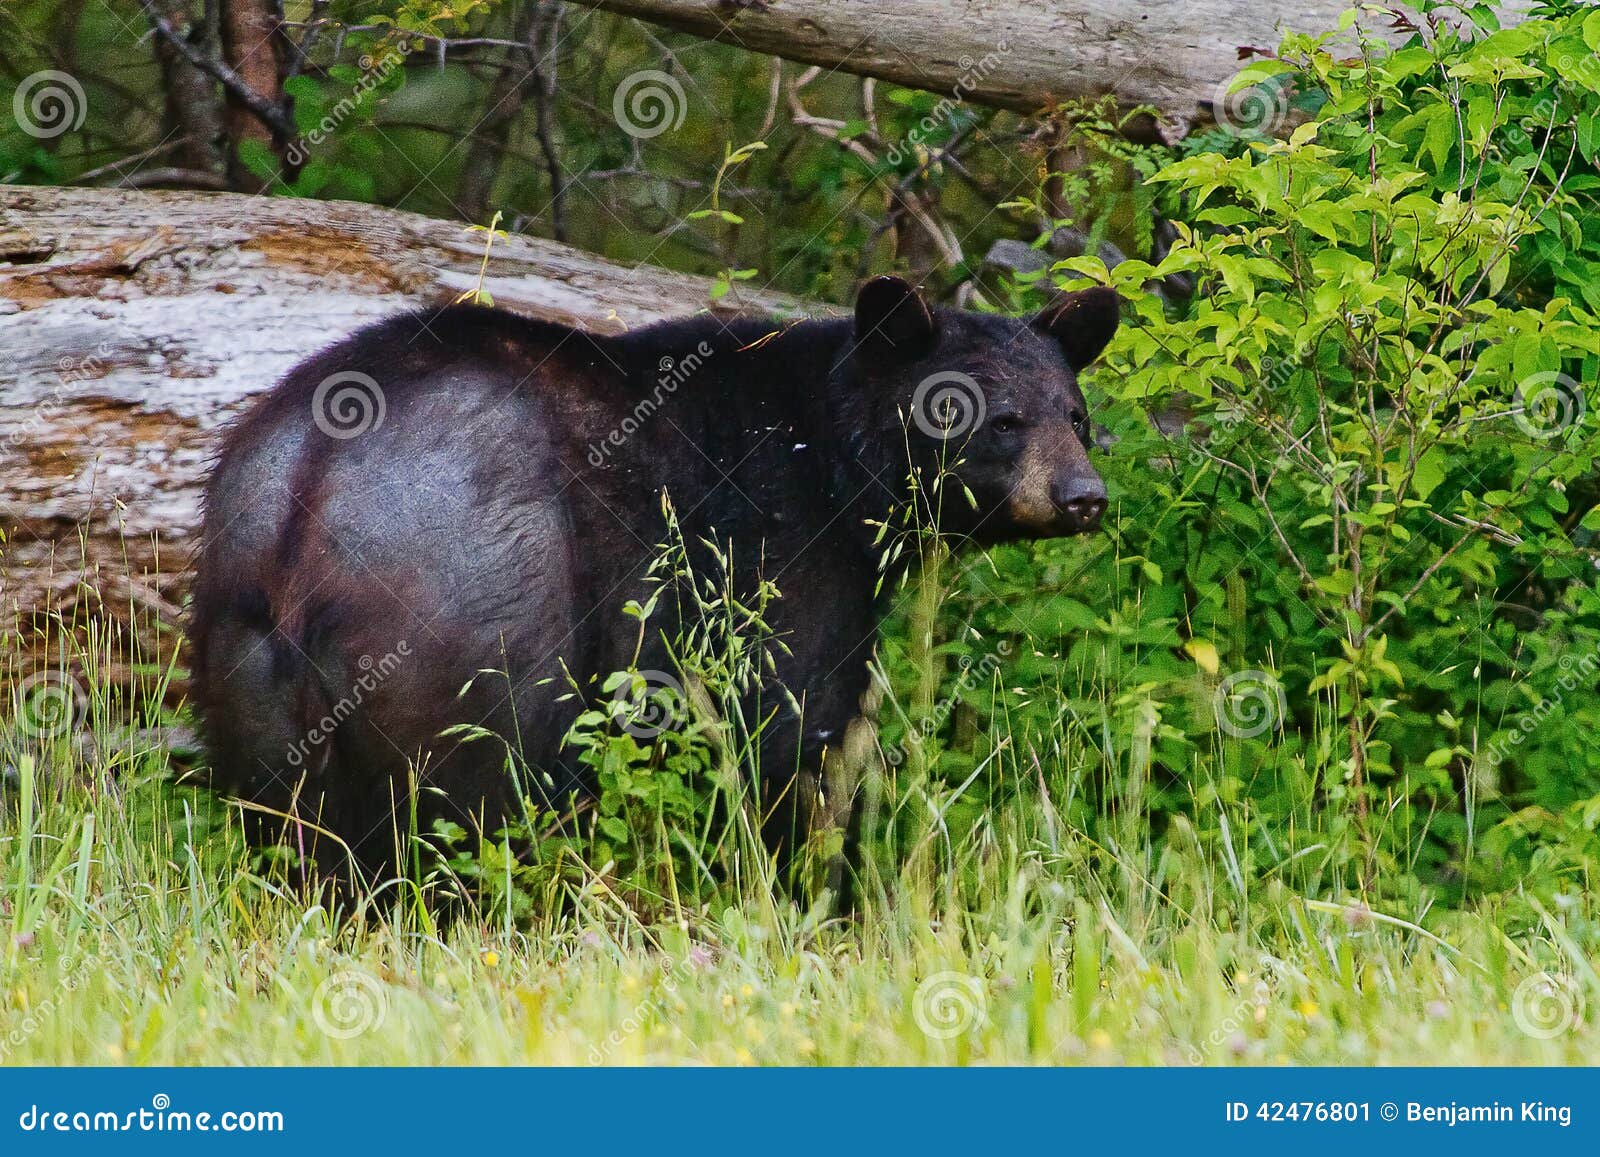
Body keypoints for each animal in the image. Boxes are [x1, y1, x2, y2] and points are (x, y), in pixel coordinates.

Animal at [188, 276, 1119, 882]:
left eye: (1076, 416)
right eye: (1002, 419)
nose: (1084, 496)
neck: (842, 466)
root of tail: (312, 485)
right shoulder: (779, 561)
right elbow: (793, 737)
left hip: (242, 649)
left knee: (292, 822)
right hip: (472, 614)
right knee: (479, 792)